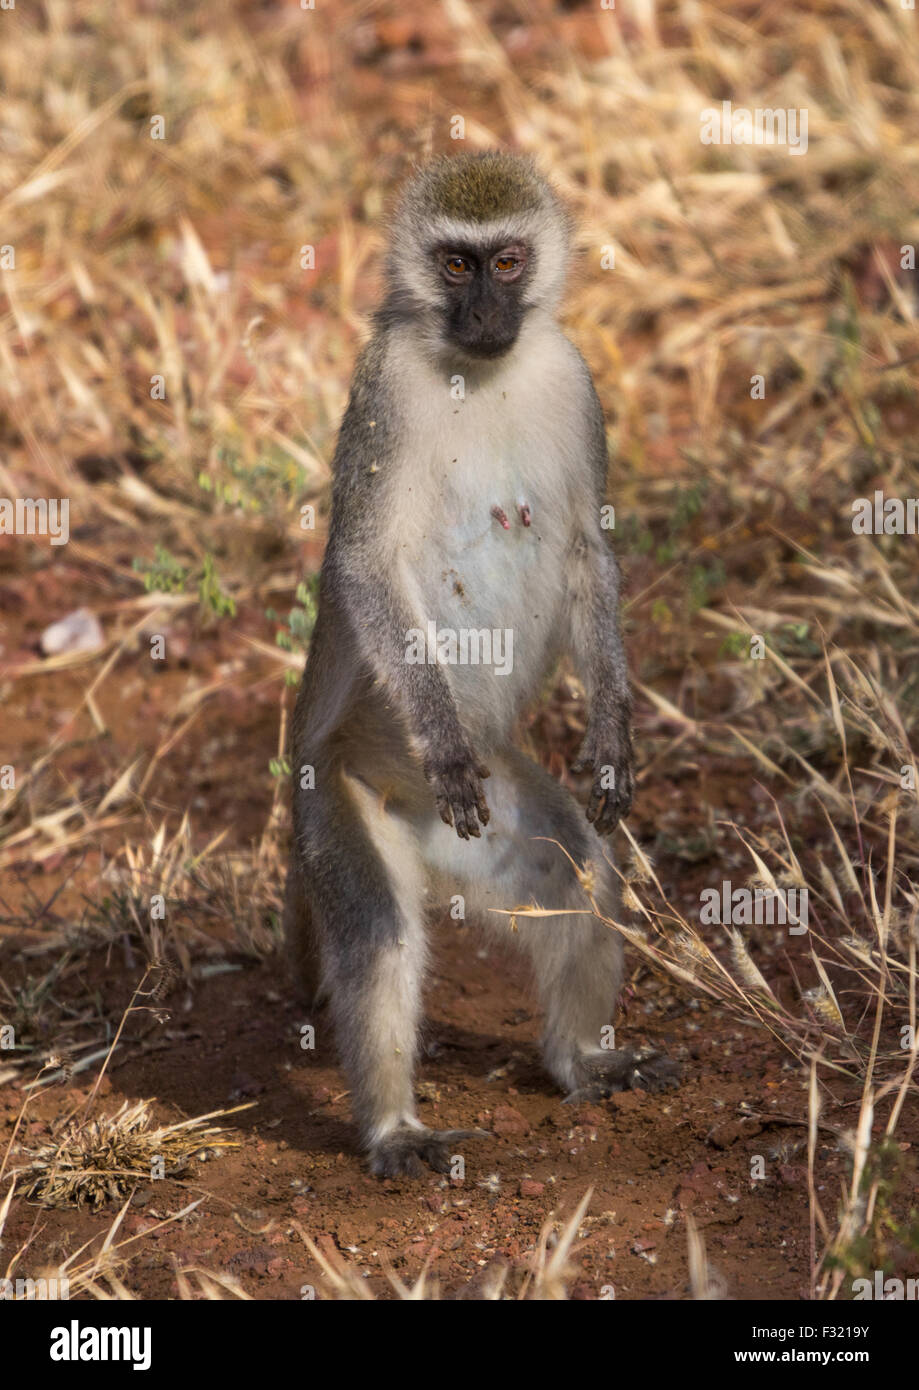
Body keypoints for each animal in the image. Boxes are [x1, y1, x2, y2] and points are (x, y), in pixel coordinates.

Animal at [284, 150, 678, 1178]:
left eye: (506, 262)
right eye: (454, 267)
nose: (487, 315)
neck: (481, 373)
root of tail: (411, 812)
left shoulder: (575, 379)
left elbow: (587, 550)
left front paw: (612, 734)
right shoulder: (383, 388)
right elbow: (364, 565)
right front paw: (444, 740)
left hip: (480, 821)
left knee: (570, 872)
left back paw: (580, 1063)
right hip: (332, 790)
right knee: (379, 933)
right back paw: (393, 1131)